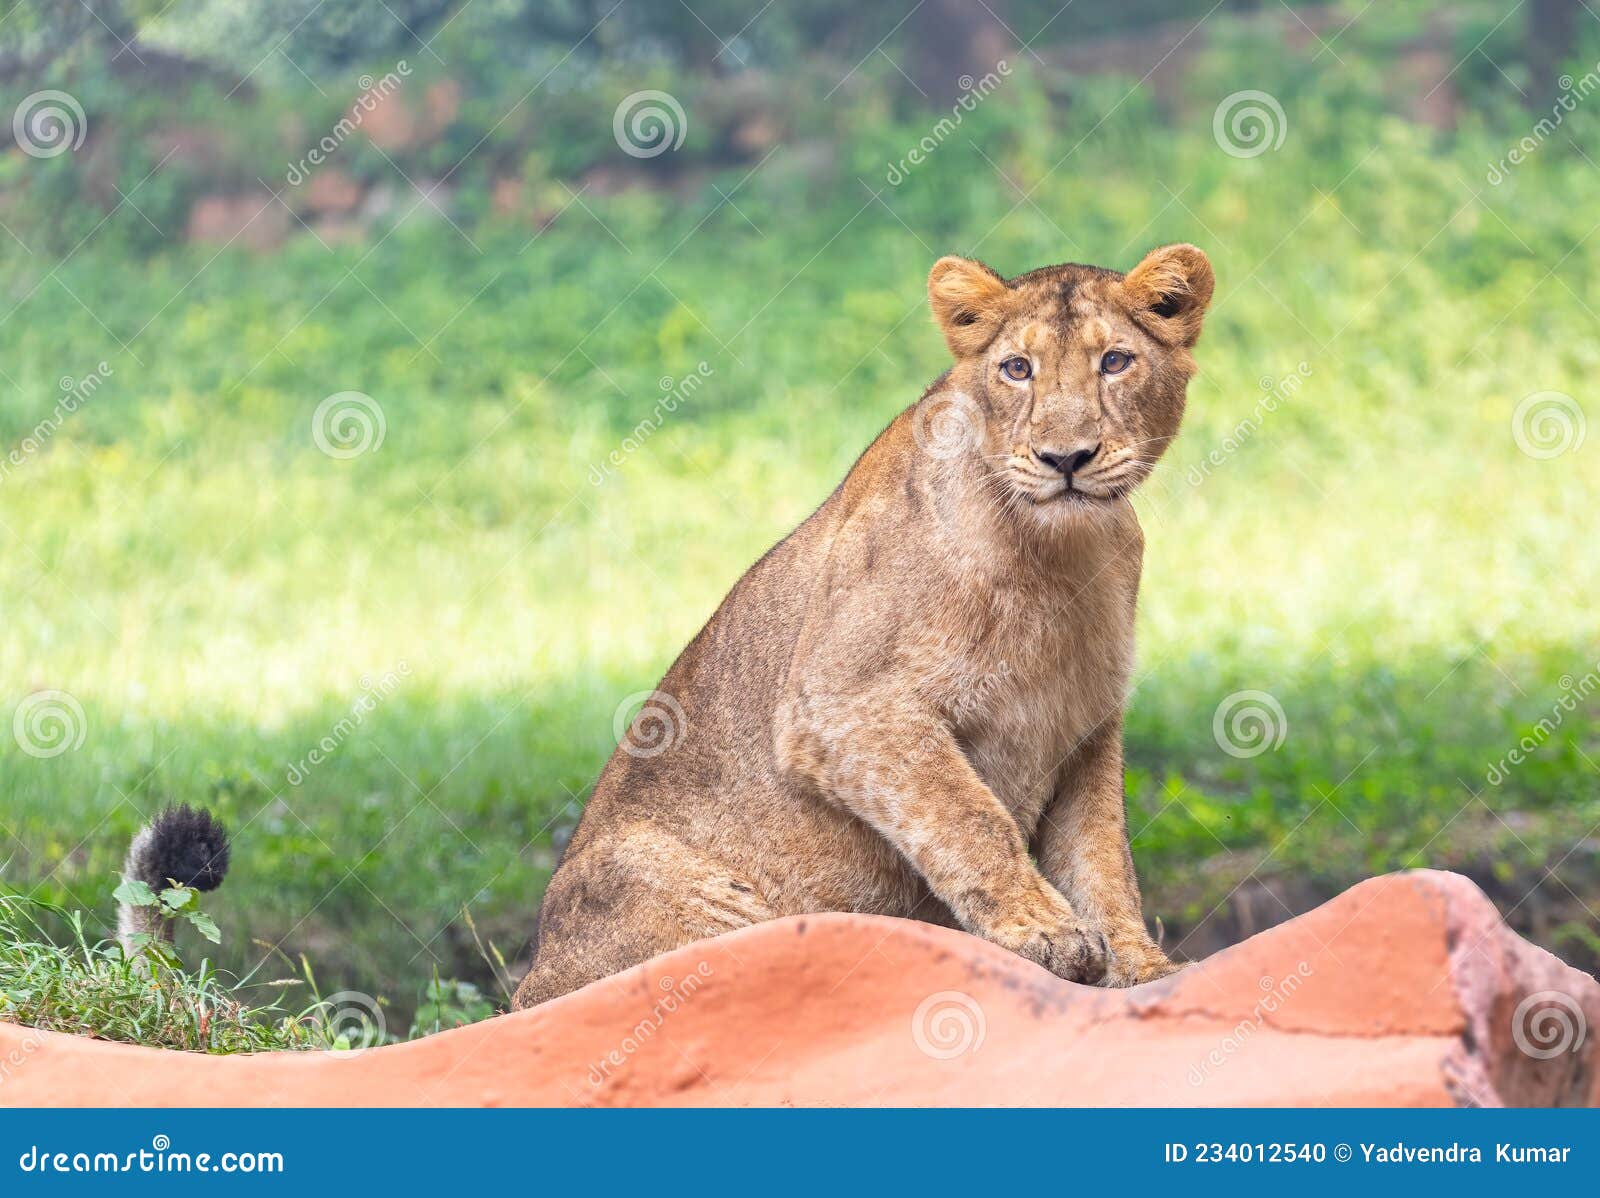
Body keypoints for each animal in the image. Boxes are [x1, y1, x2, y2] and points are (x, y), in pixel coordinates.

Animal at [514, 243, 1215, 1008]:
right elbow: (969, 814)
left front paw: (1144, 969)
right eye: (1016, 369)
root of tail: (529, 983)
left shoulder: (1085, 729)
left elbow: (1103, 860)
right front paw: (1045, 934)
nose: (1066, 458)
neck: (1059, 557)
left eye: (1115, 361)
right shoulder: (843, 707)